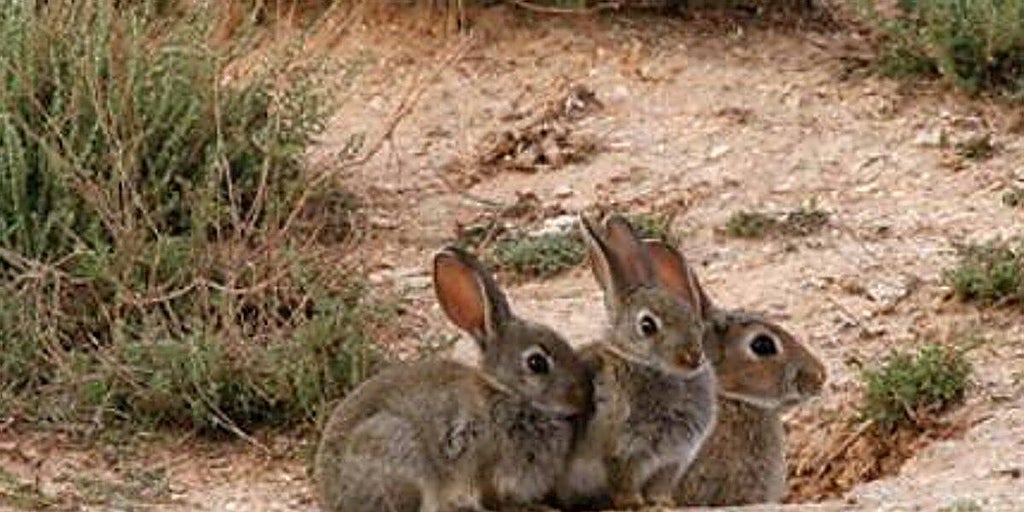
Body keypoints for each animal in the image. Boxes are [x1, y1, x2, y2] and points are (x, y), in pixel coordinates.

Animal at [314, 246, 592, 512]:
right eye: (537, 363)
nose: (583, 397)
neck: (505, 391)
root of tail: (333, 498)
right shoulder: (489, 464)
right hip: (401, 456)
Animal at [557, 214, 718, 510]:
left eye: (693, 319)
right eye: (647, 326)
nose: (693, 357)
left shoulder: (673, 460)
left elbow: (660, 488)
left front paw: (665, 504)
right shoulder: (625, 450)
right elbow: (624, 481)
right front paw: (634, 504)